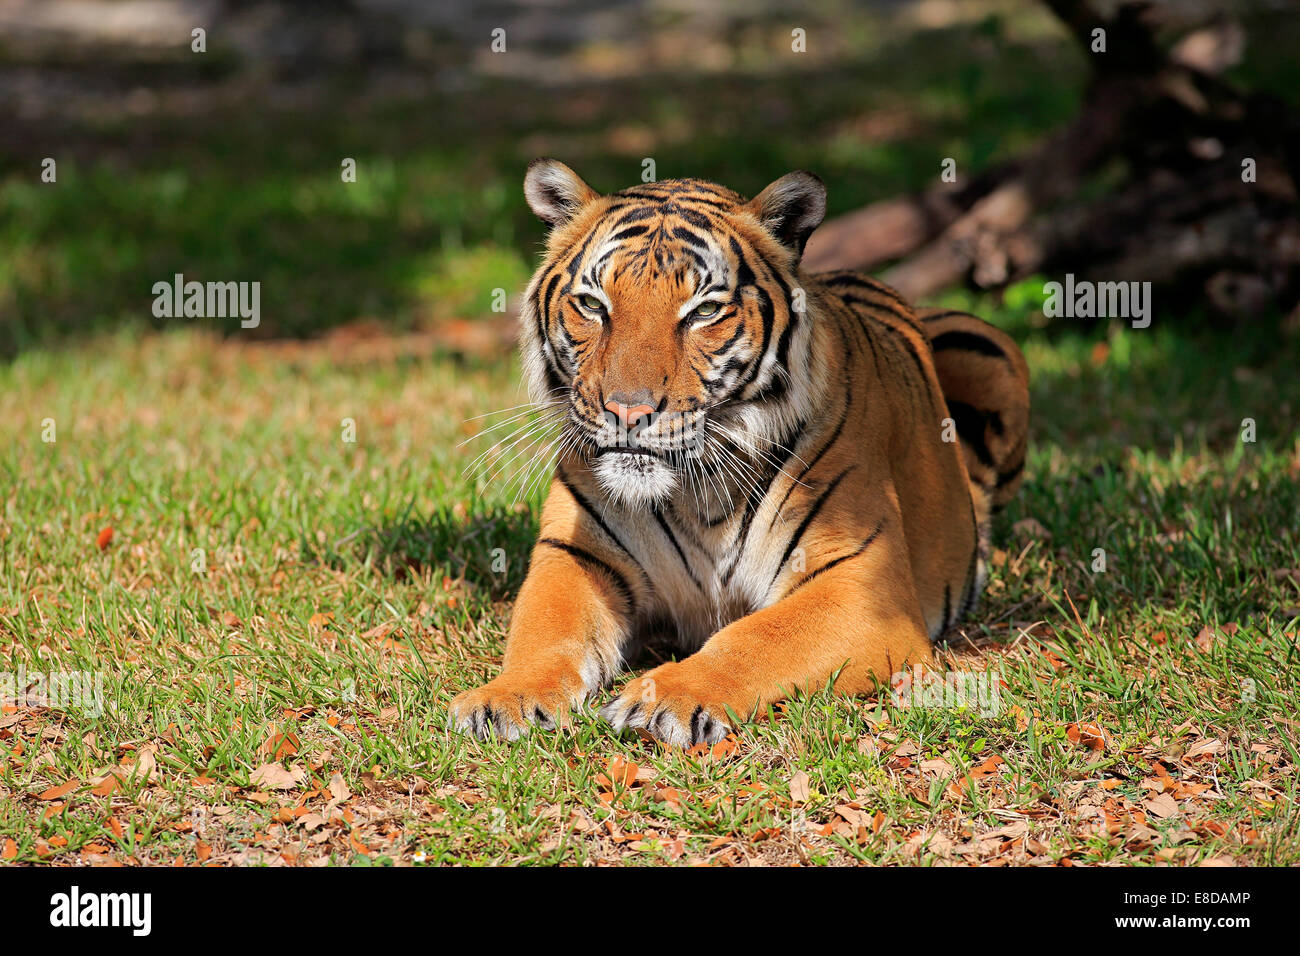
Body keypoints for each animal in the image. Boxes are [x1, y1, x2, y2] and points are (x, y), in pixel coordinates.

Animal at [450, 159, 1029, 747]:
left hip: (990, 353)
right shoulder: (575, 555)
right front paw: (505, 698)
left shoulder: (862, 585)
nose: (628, 412)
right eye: (593, 304)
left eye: (704, 310)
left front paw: (667, 696)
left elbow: (757, 637)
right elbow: (546, 634)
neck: (694, 493)